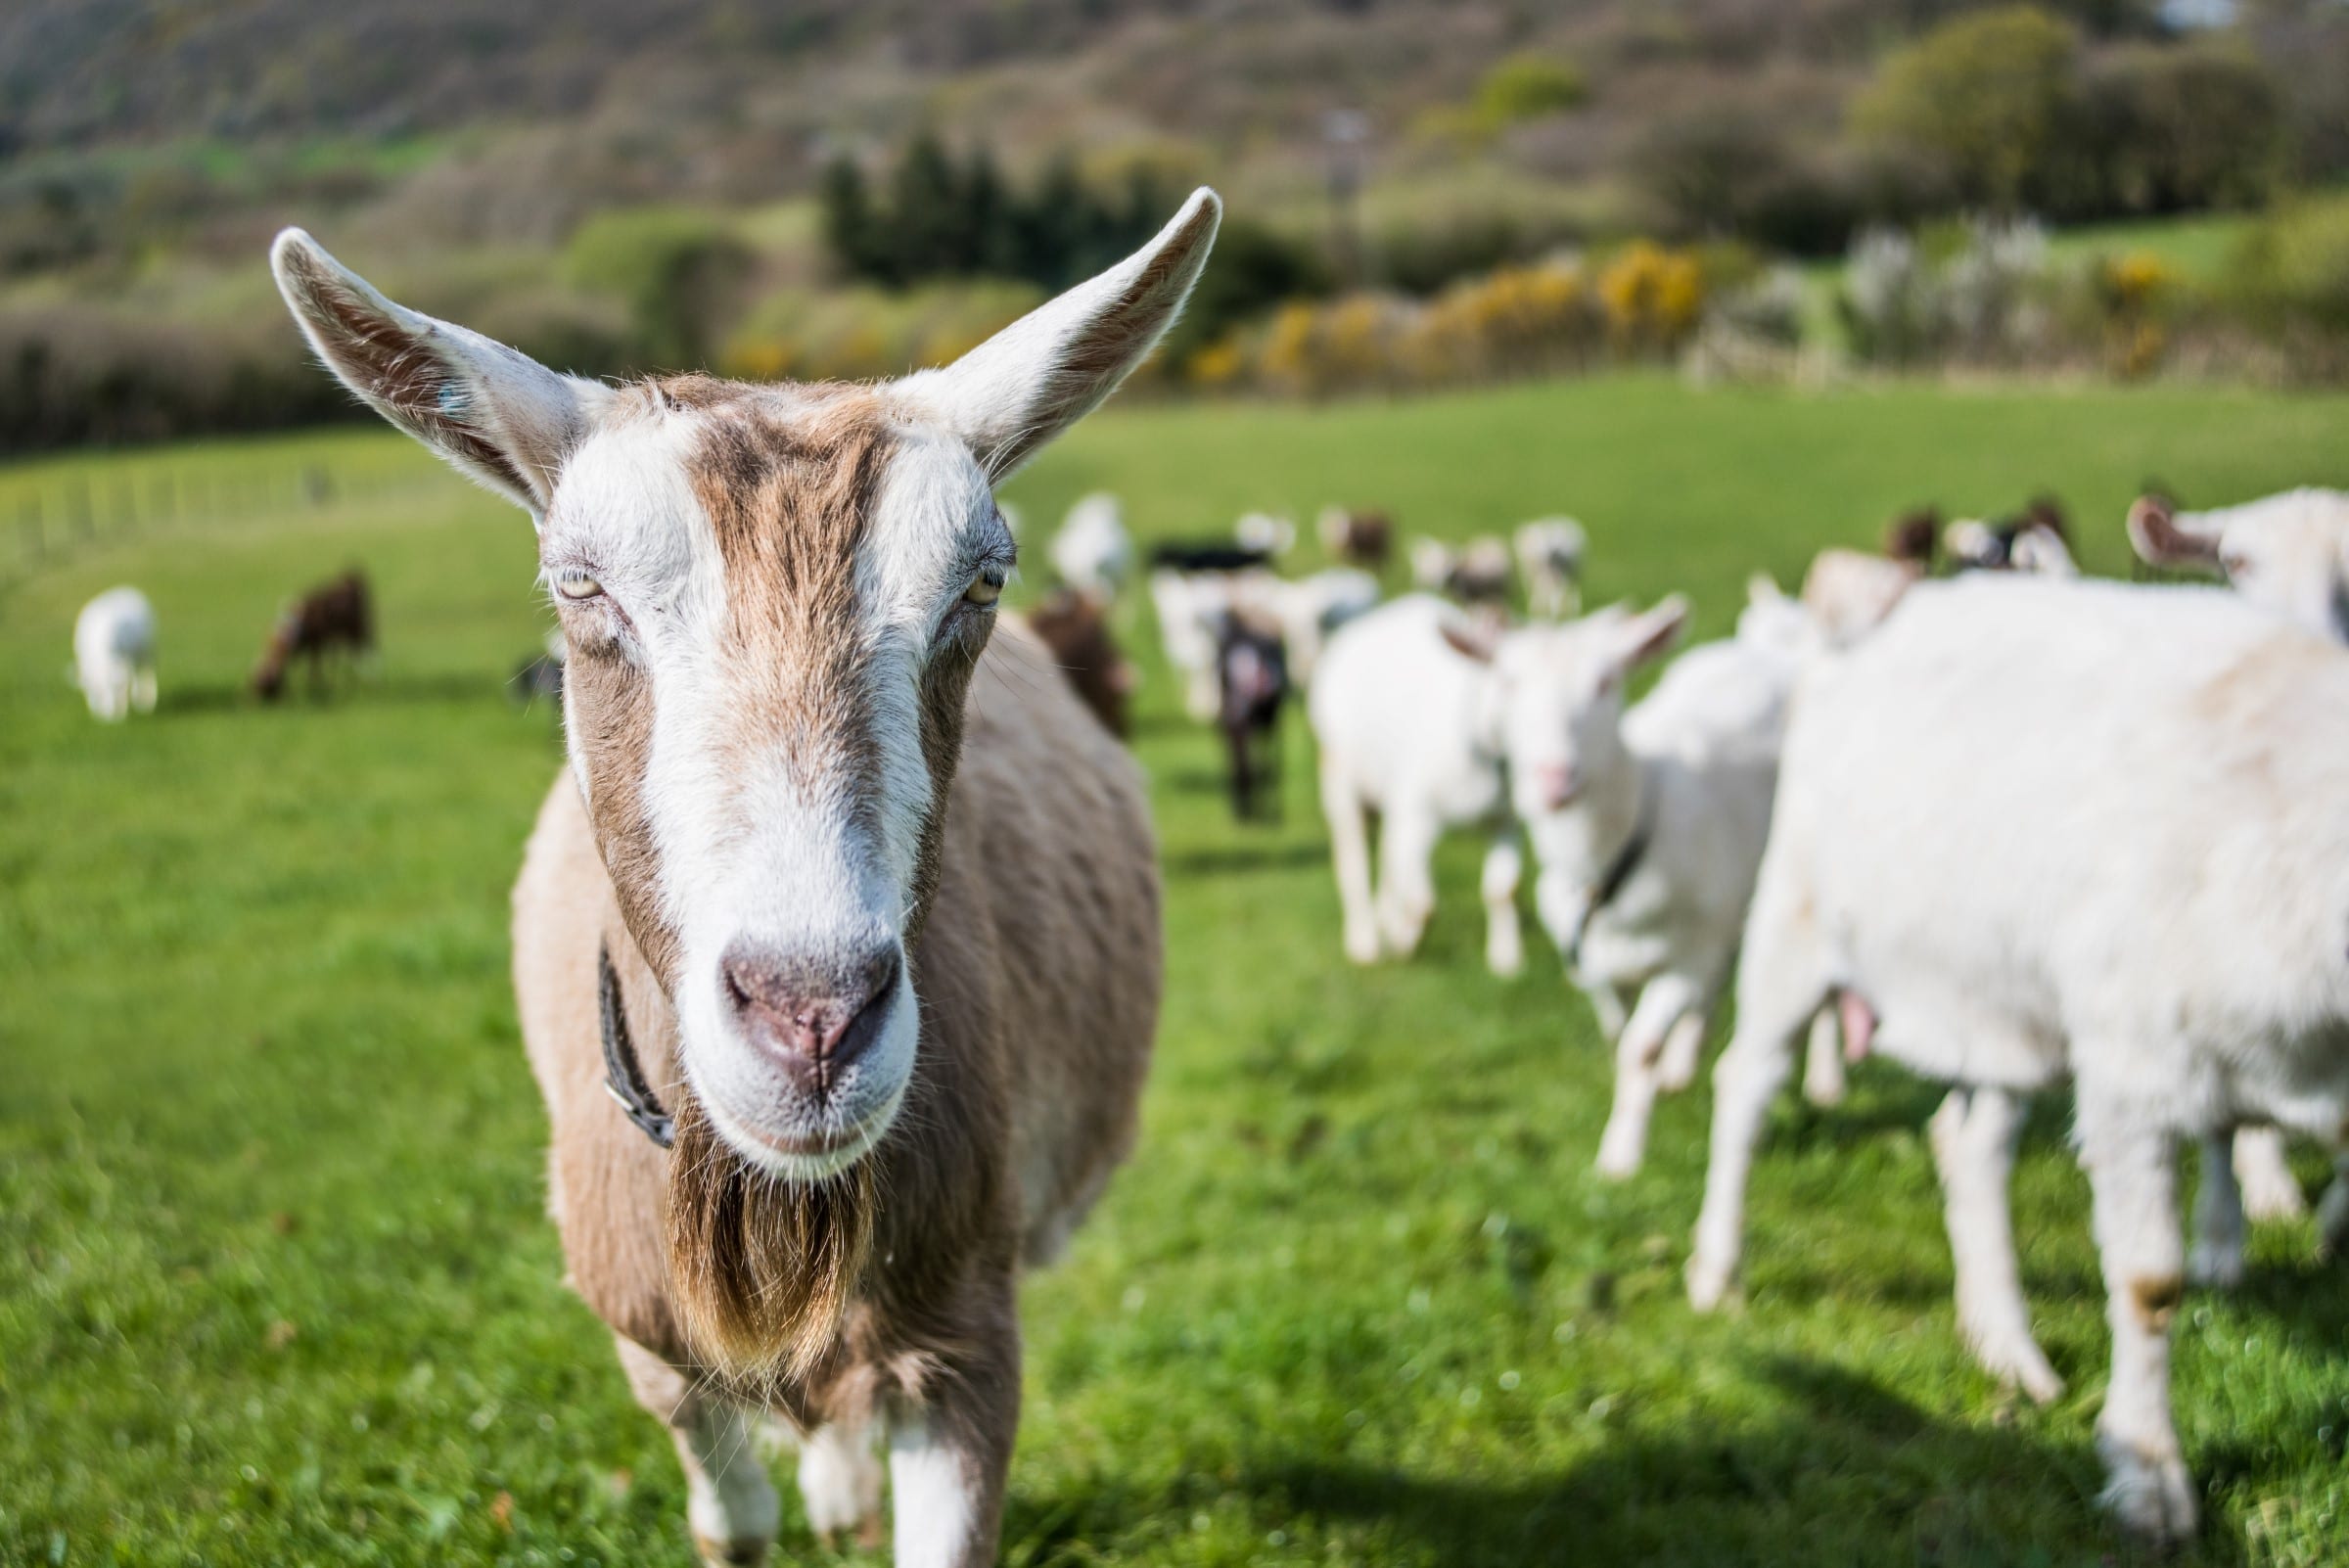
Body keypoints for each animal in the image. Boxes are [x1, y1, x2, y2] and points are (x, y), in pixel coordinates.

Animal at [72, 586, 158, 721]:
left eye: (117, 689)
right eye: (98, 692)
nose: (110, 718)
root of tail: (127, 587)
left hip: (148, 650)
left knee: (147, 673)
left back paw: (146, 701)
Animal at [252, 570, 373, 701]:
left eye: (270, 688)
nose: (258, 701)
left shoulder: (316, 644)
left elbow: (315, 671)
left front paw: (315, 688)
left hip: (356, 628)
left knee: (359, 651)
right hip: (341, 635)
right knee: (341, 656)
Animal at [1686, 576, 2349, 1543]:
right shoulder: (2131, 1067)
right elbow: (2149, 1283)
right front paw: (2147, 1480)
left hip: (2007, 1006)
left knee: (1968, 1146)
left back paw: (2005, 1350)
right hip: (1796, 923)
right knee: (1746, 1087)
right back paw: (1717, 1275)